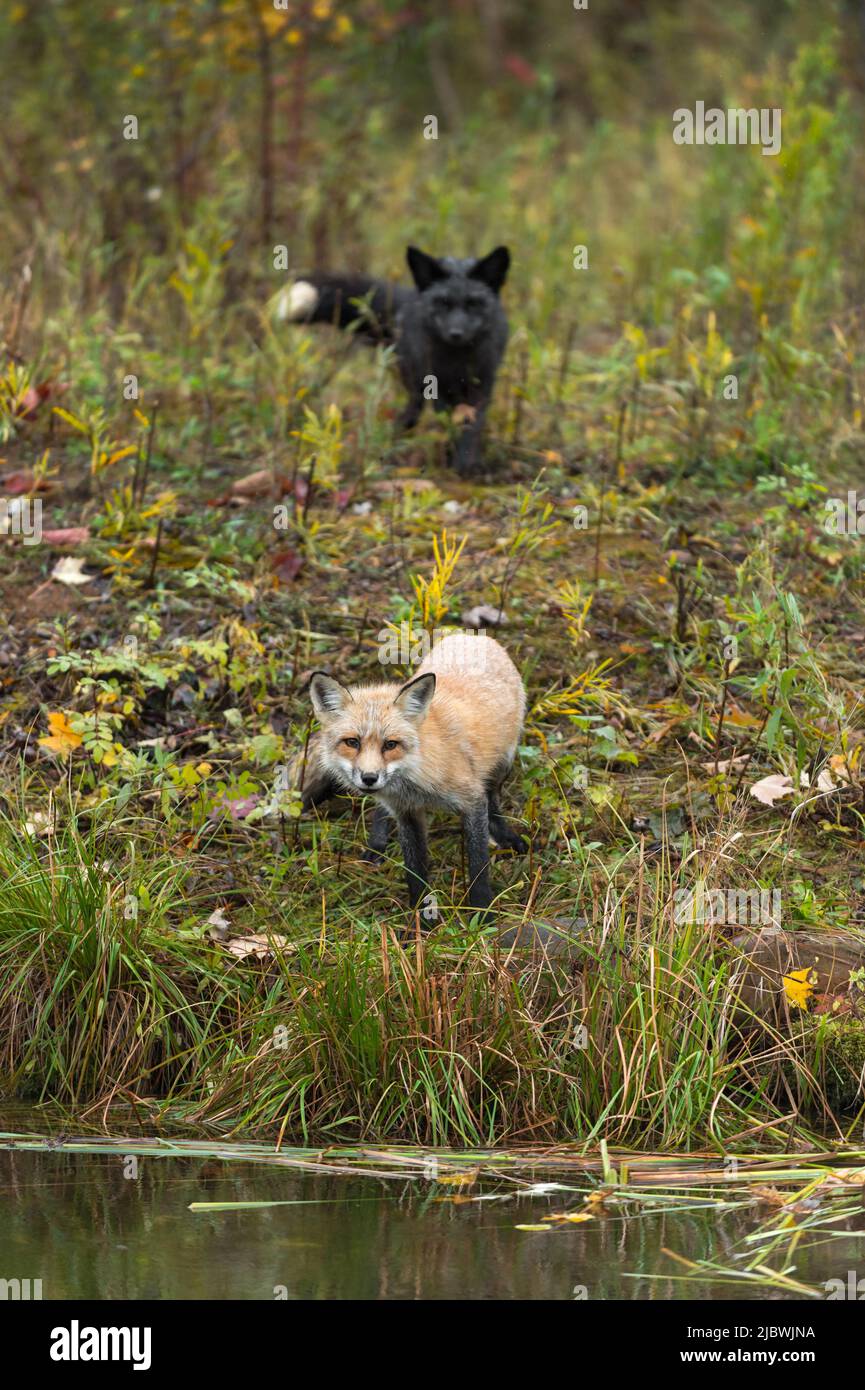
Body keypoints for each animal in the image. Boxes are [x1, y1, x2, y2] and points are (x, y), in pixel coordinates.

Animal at [279, 245, 511, 476]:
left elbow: (472, 427)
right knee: (413, 408)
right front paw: (455, 458)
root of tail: (412, 296)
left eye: (474, 304)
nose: (456, 333)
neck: (458, 364)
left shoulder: (483, 384)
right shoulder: (438, 384)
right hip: (416, 380)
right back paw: (399, 436)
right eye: (442, 304)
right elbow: (449, 421)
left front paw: (468, 463)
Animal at [305, 632, 527, 925]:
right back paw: (377, 844)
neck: (415, 779)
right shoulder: (405, 811)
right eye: (352, 742)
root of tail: (469, 635)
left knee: (494, 796)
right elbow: (415, 870)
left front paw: (482, 914)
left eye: (391, 744)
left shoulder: (471, 799)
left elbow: (478, 864)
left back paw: (504, 835)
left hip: (504, 760)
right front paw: (421, 919)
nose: (369, 778)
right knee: (381, 811)